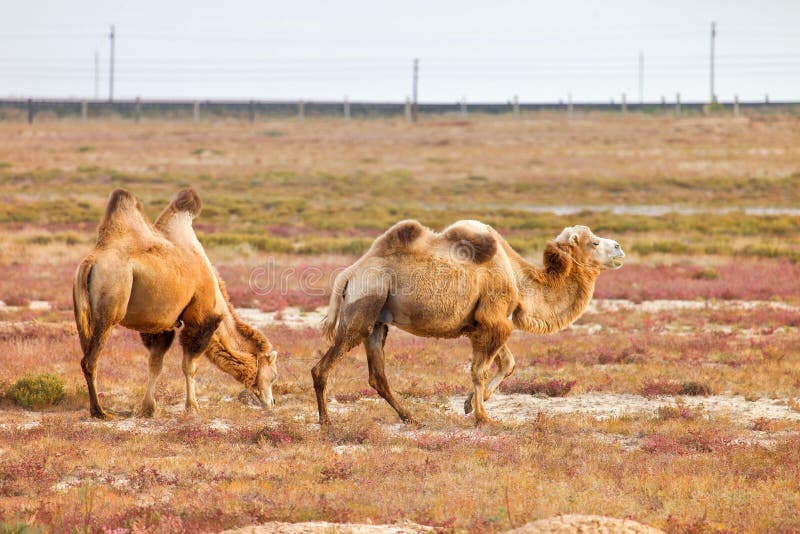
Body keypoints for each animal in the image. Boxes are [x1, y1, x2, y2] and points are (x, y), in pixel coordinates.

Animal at [73, 188, 278, 419]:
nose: (272, 402)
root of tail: (90, 263)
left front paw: (148, 408)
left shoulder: (160, 325)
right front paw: (193, 407)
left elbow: (155, 364)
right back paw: (100, 412)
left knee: (85, 352)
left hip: (83, 316)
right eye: (274, 375)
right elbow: (189, 366)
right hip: (109, 308)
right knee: (90, 360)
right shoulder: (200, 319)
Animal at [313, 220, 624, 425]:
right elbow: (480, 370)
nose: (619, 247)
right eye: (594, 242)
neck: (517, 277)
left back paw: (410, 417)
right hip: (365, 301)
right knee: (323, 367)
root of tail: (349, 274)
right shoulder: (494, 319)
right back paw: (326, 422)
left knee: (377, 374)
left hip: (378, 320)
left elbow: (507, 364)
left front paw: (470, 404)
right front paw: (483, 416)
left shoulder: (483, 324)